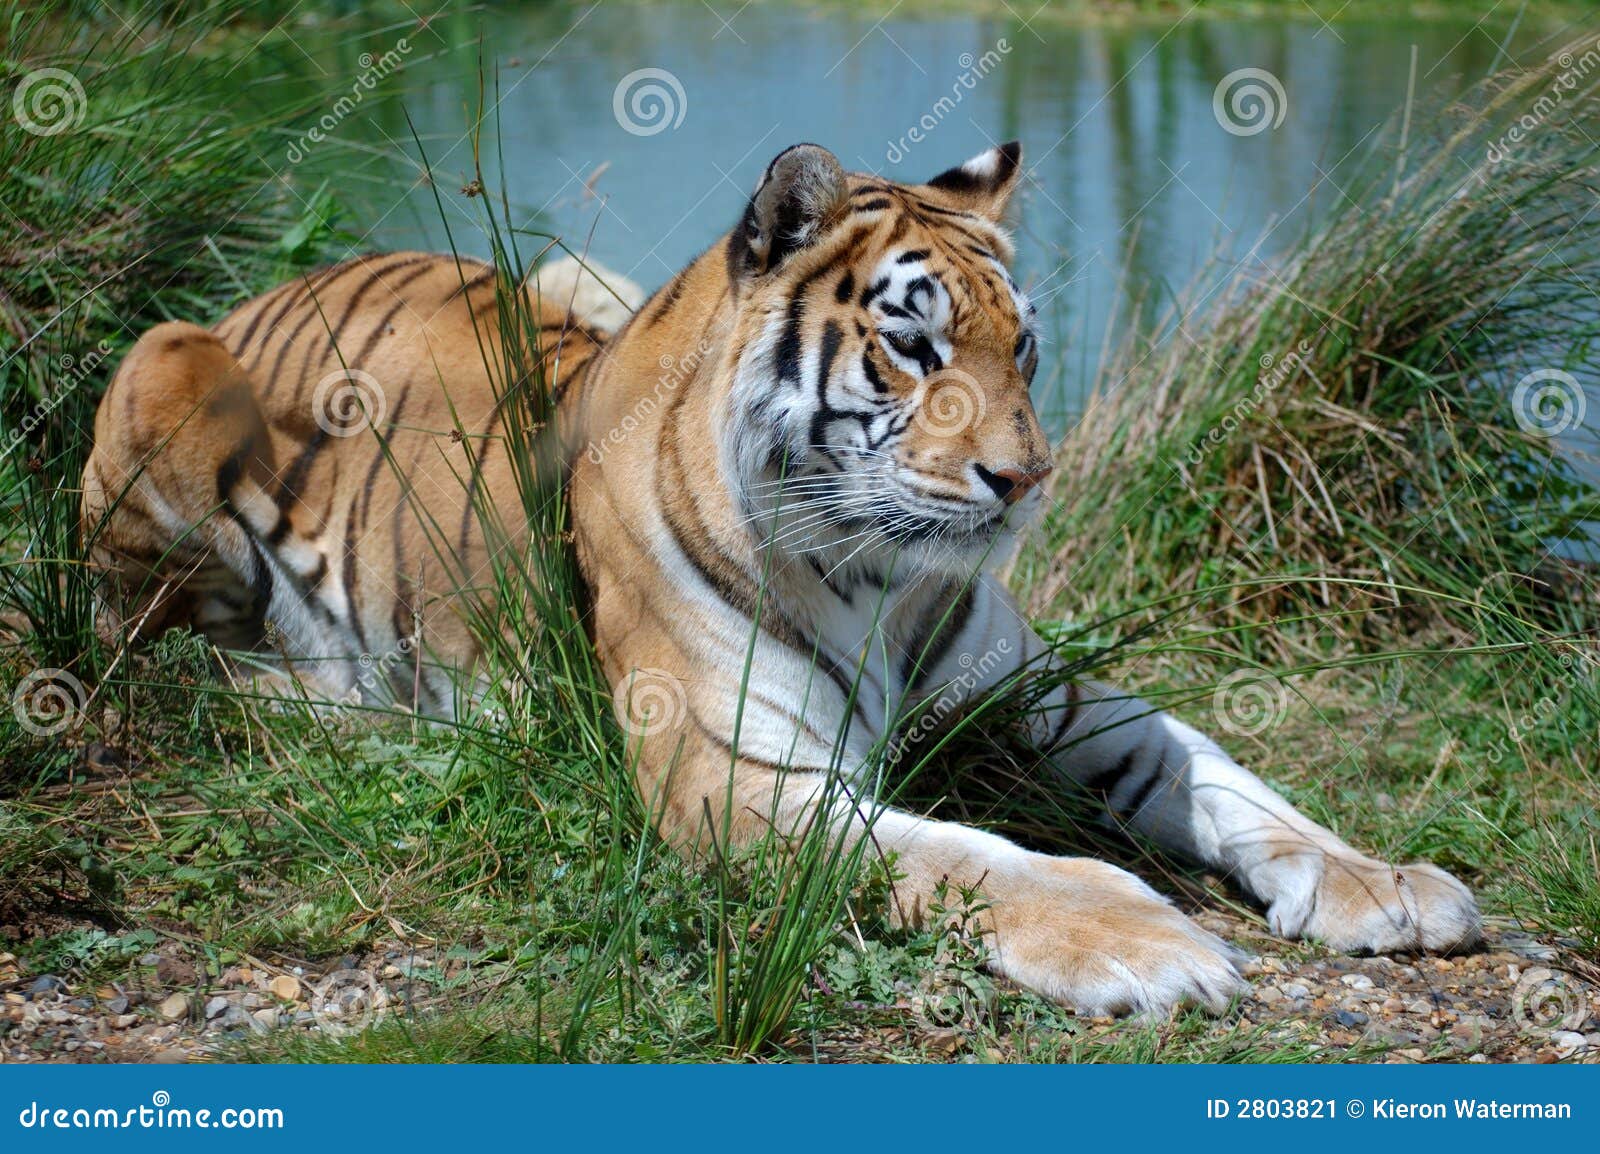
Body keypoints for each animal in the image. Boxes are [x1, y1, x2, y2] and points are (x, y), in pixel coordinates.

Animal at [81, 141, 1480, 1016]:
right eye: (914, 346)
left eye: (1022, 346)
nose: (1028, 478)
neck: (885, 577)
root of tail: (279, 282)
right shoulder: (733, 772)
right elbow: (980, 857)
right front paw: (1147, 943)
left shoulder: (1046, 691)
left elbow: (1220, 773)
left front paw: (1380, 883)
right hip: (166, 373)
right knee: (150, 650)